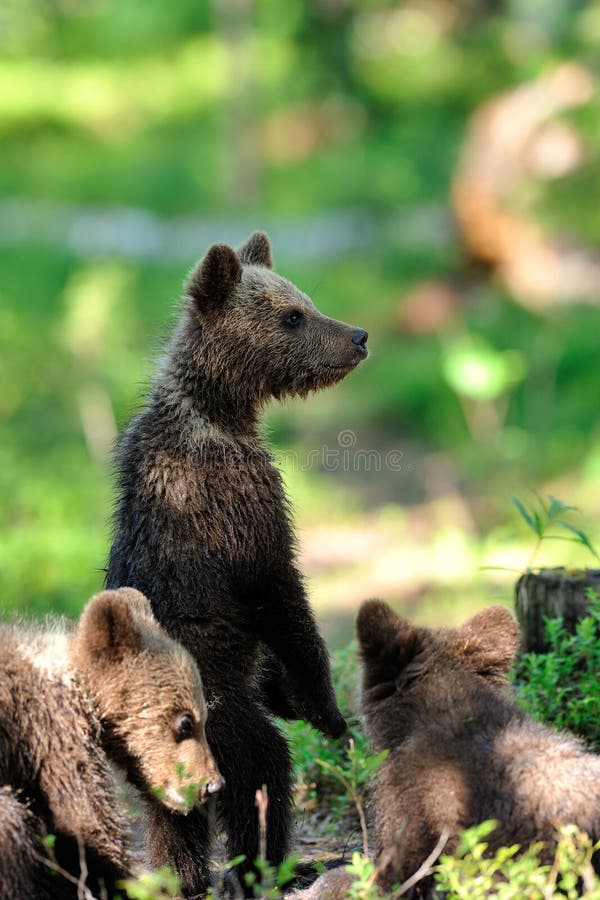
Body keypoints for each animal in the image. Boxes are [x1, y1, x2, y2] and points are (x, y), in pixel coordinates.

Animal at [105, 230, 369, 895]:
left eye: (305, 300)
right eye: (292, 314)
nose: (357, 335)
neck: (220, 409)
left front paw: (292, 693)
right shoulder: (236, 503)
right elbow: (281, 594)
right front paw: (326, 708)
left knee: (172, 816)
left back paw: (185, 875)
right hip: (212, 713)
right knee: (262, 772)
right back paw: (273, 864)